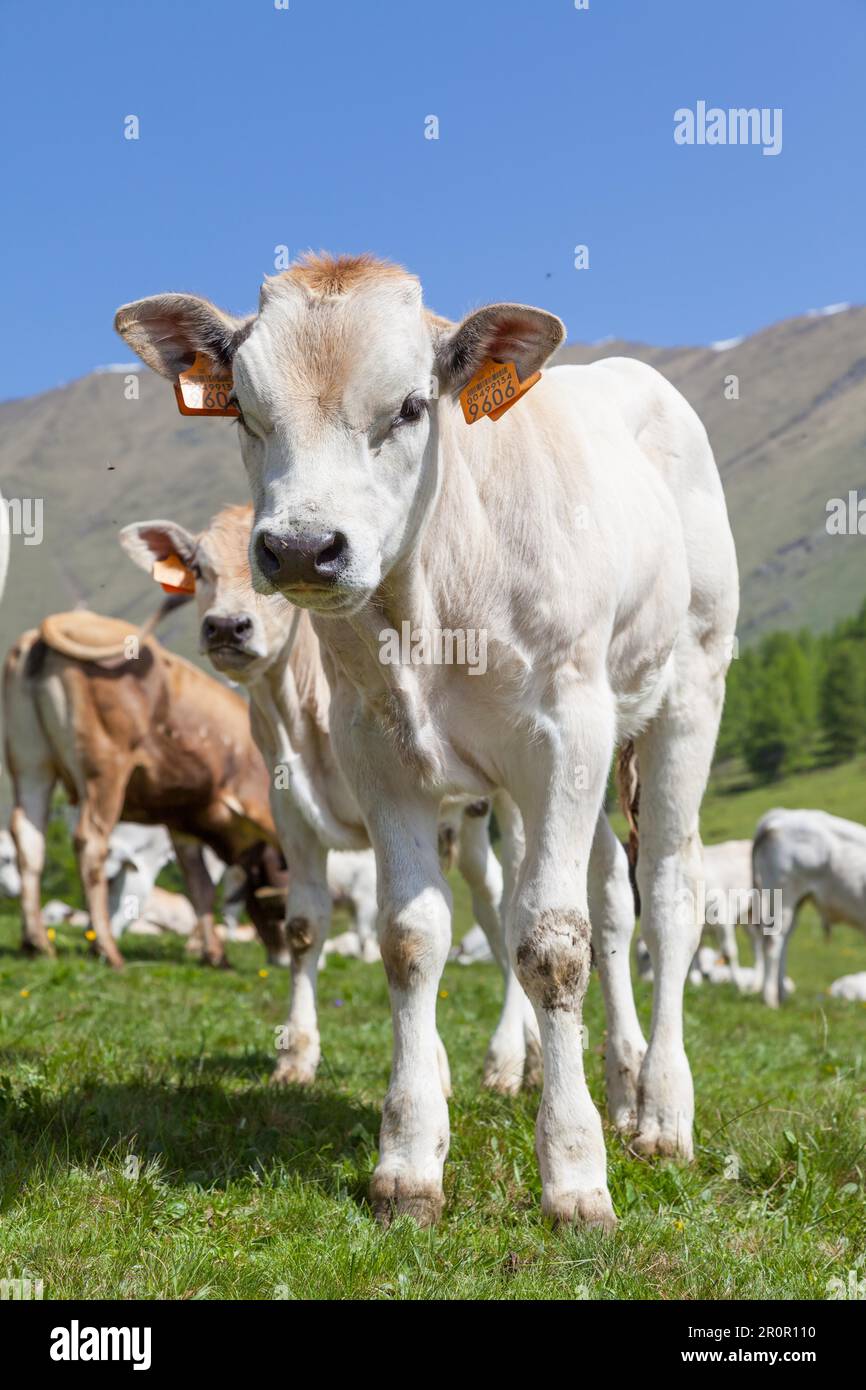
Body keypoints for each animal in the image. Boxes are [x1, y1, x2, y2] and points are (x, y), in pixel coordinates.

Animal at [120, 504, 542, 1093]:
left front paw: (431, 1064)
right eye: (199, 569)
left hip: (510, 804)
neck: (298, 713)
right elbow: (304, 927)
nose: (226, 627)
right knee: (491, 905)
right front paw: (296, 1057)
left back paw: (511, 1057)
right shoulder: (290, 814)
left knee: (504, 909)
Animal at [753, 808, 866, 1007]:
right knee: (773, 942)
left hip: (795, 901)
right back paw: (770, 999)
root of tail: (782, 815)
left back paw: (782, 993)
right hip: (783, 895)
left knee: (784, 940)